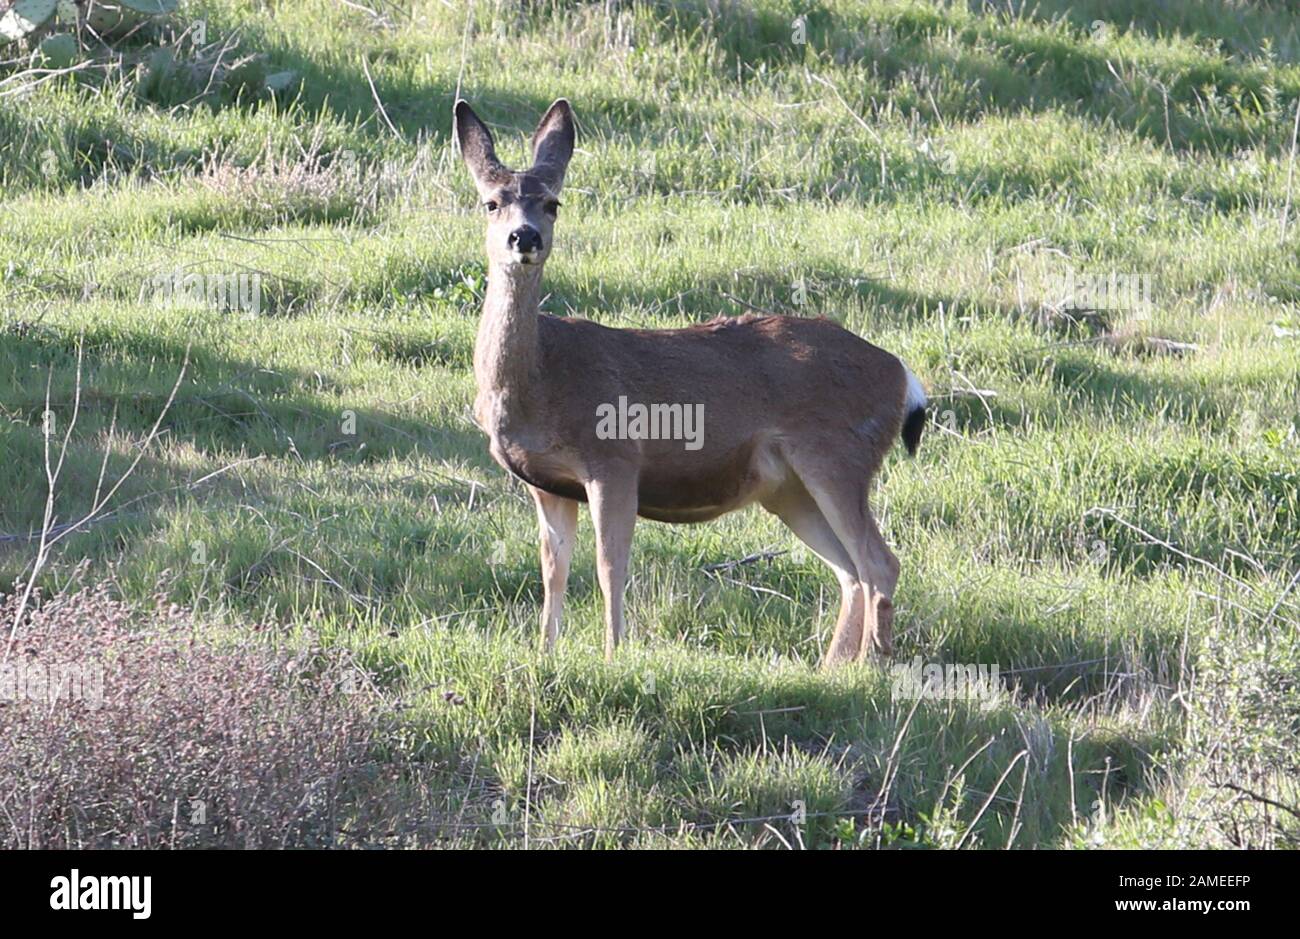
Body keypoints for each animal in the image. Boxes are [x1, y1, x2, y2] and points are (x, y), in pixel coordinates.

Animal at [454, 98, 927, 669]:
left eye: (553, 203)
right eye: (491, 203)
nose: (525, 237)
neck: (540, 381)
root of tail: (902, 375)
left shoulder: (614, 459)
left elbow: (610, 565)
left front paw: (613, 655)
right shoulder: (547, 483)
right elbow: (553, 568)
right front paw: (546, 652)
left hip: (838, 454)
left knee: (880, 562)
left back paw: (871, 665)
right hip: (788, 486)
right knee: (850, 570)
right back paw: (833, 668)